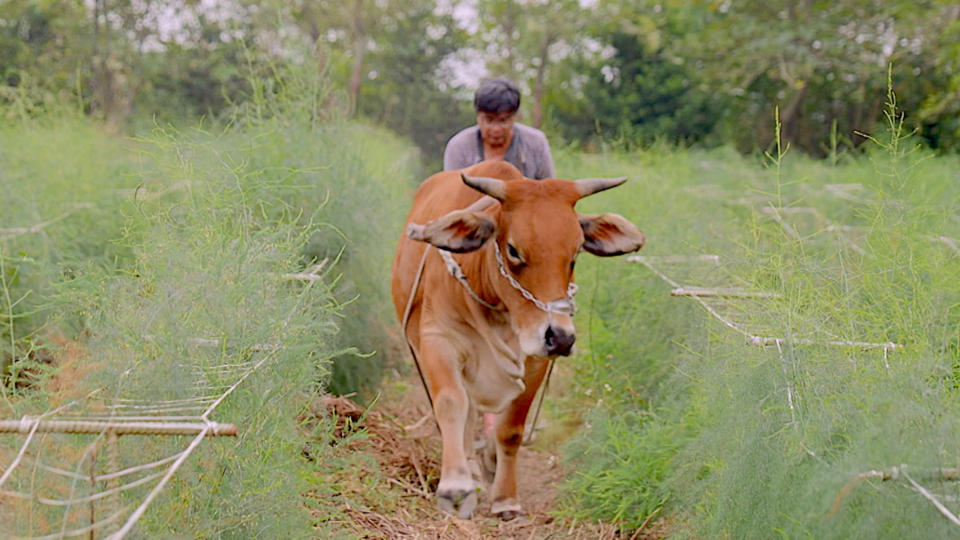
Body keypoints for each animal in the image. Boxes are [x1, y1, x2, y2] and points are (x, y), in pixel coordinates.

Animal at [391, 160, 645, 519]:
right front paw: (455, 487)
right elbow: (452, 405)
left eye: (576, 253)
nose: (560, 337)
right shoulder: (438, 339)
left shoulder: (536, 358)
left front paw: (505, 496)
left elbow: (510, 430)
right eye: (513, 250)